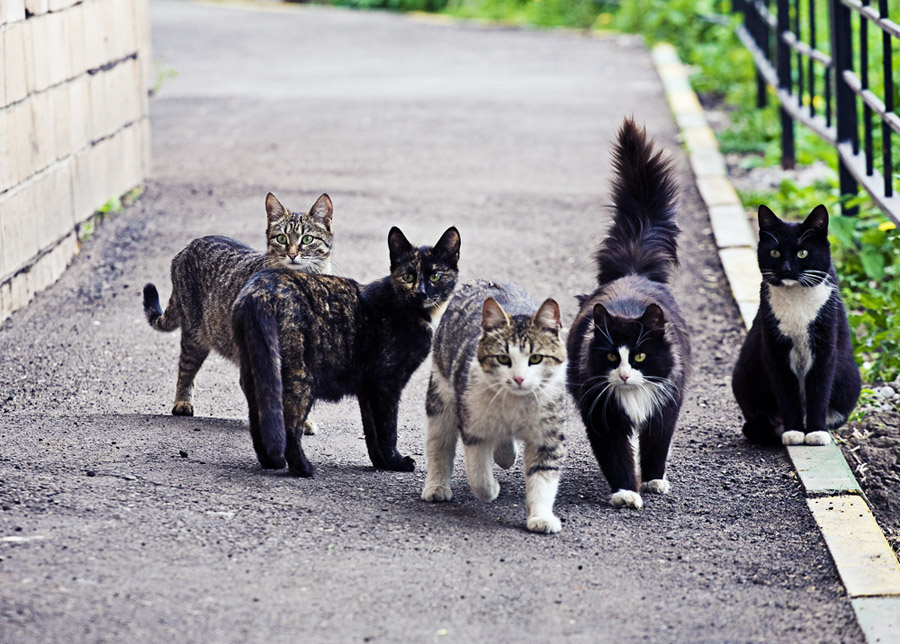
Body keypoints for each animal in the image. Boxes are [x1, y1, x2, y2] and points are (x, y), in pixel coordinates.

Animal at [144, 192, 334, 428]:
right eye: (281, 239)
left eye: (307, 239)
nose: (292, 254)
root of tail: (188, 246)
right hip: (195, 336)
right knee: (185, 369)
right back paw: (182, 402)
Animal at [232, 224, 460, 476]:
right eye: (408, 276)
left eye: (435, 276)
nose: (420, 293)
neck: (409, 310)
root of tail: (261, 289)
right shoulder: (386, 384)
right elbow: (388, 430)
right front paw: (396, 463)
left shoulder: (368, 388)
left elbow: (372, 431)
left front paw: (380, 463)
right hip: (298, 378)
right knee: (289, 426)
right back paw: (303, 468)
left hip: (257, 371)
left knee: (259, 419)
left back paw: (270, 462)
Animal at [420, 280, 568, 532]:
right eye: (503, 358)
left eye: (536, 358)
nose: (519, 379)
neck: (516, 402)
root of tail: (480, 282)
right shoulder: (473, 423)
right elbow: (478, 475)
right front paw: (492, 489)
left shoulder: (547, 432)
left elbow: (543, 476)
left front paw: (541, 517)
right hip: (441, 394)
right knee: (439, 443)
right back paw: (436, 486)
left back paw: (505, 453)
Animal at [568, 118, 688, 510]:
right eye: (609, 357)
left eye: (640, 356)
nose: (622, 375)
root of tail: (633, 270)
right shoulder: (600, 414)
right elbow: (617, 456)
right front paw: (625, 493)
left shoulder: (665, 406)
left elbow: (655, 448)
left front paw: (652, 482)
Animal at [732, 204, 864, 446]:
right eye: (774, 253)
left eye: (802, 253)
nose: (786, 269)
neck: (796, 299)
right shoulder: (774, 347)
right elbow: (786, 392)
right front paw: (793, 431)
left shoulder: (825, 344)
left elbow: (819, 390)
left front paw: (816, 432)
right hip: (742, 374)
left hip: (851, 378)